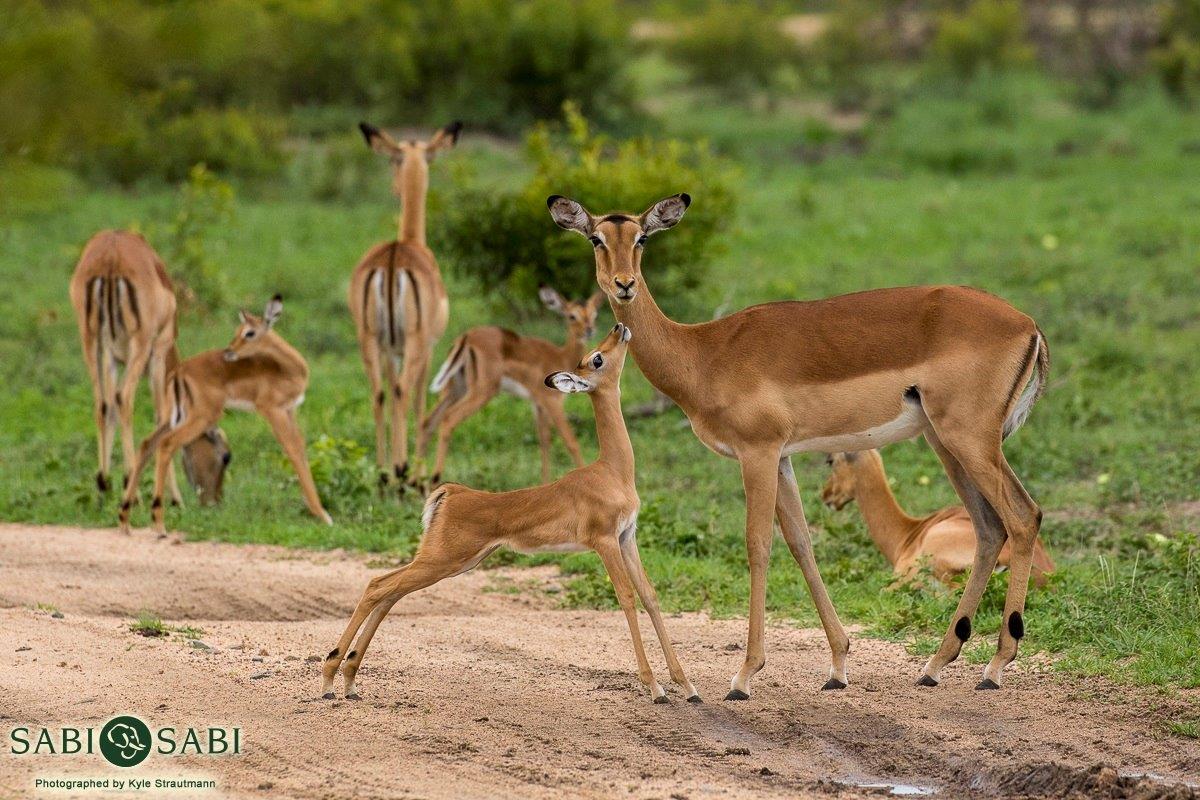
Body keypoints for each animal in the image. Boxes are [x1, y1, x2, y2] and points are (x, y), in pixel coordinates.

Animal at [118, 296, 332, 535]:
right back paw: (158, 523)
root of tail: (179, 372)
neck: (290, 368)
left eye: (249, 332)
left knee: (147, 444)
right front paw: (322, 515)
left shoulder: (290, 411)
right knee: (166, 444)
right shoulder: (272, 411)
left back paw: (125, 520)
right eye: (239, 330)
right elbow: (293, 451)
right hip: (202, 417)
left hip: (172, 419)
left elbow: (301, 449)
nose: (228, 351)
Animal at [322, 323, 700, 705]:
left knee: (389, 592)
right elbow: (626, 597)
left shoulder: (627, 537)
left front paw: (687, 686)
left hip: (453, 562)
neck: (612, 471)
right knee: (377, 585)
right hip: (442, 560)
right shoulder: (605, 541)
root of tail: (452, 492)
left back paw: (350, 681)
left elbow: (649, 595)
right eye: (596, 358)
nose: (619, 327)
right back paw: (329, 680)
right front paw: (655, 688)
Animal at [351, 121, 460, 491]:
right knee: (401, 392)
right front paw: (417, 474)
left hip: (369, 339)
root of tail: (392, 259)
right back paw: (399, 471)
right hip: (413, 343)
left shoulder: (389, 349)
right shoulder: (428, 347)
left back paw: (384, 473)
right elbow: (420, 401)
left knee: (379, 393)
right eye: (393, 161)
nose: (395, 188)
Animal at [417, 286, 604, 485]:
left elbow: (544, 441)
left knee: (428, 422)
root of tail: (466, 338)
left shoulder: (537, 405)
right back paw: (434, 480)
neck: (562, 356)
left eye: (594, 313)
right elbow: (571, 442)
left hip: (456, 388)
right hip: (482, 391)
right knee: (448, 419)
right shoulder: (552, 401)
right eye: (571, 316)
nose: (589, 330)